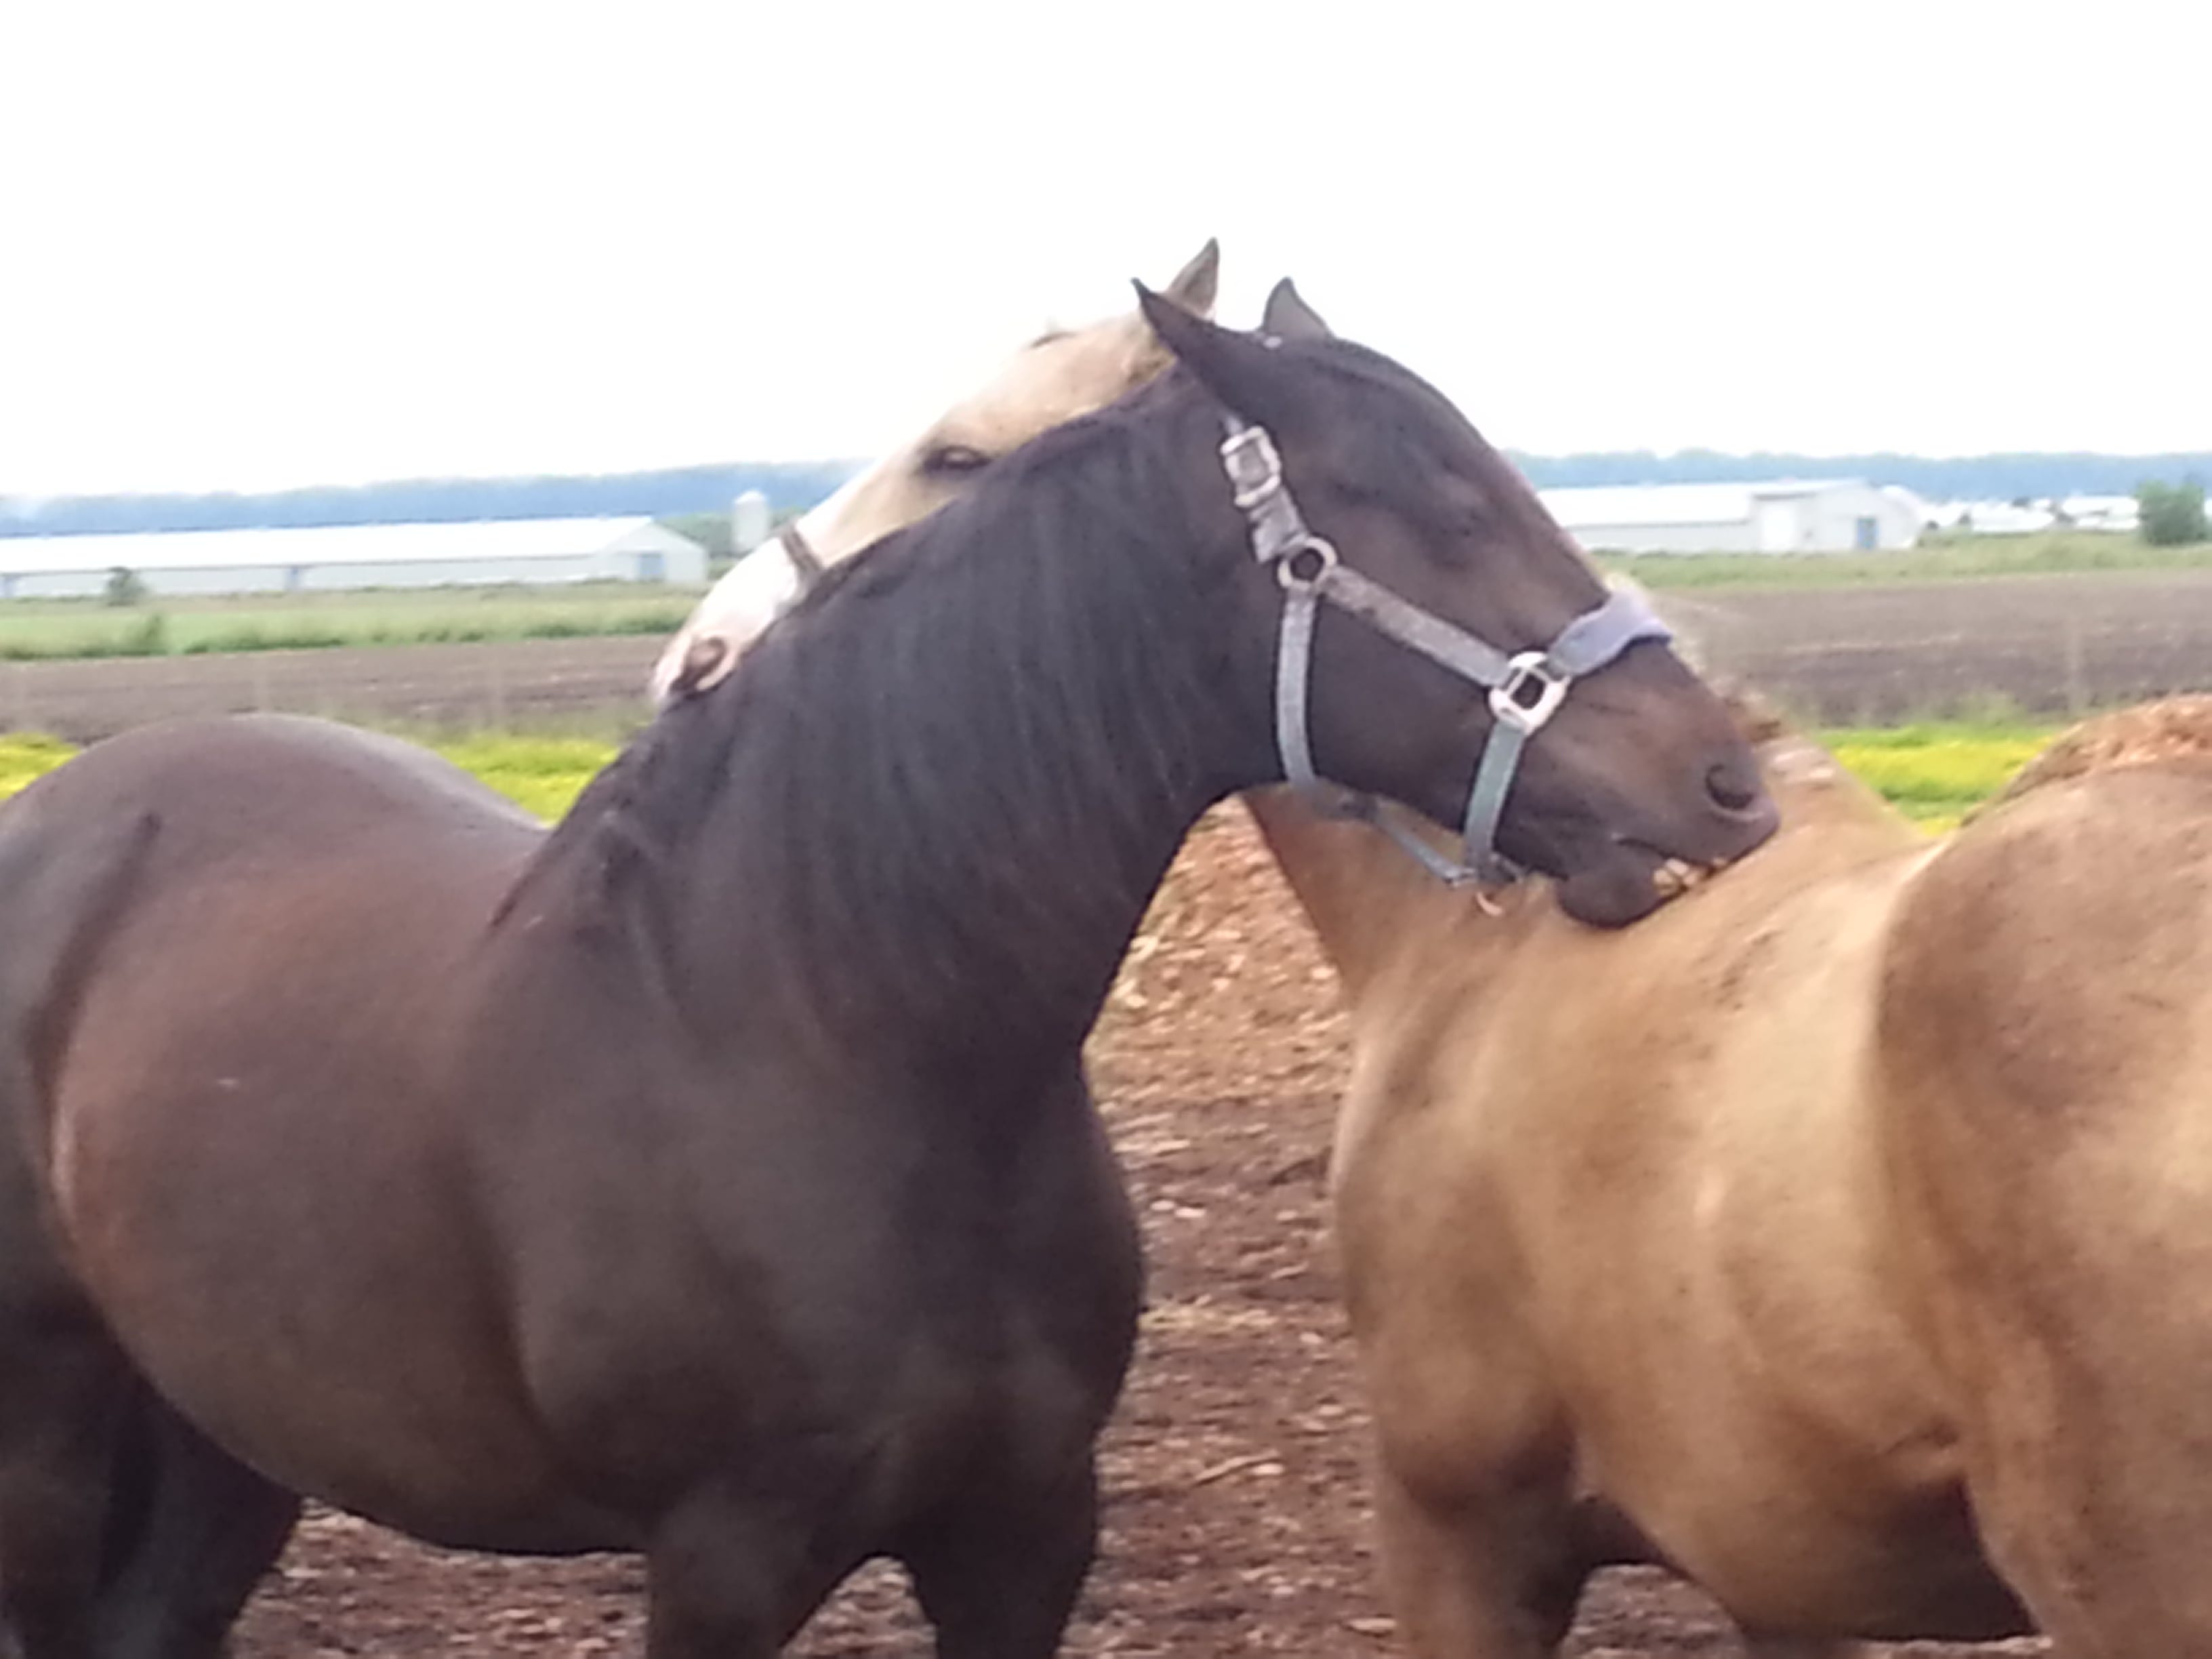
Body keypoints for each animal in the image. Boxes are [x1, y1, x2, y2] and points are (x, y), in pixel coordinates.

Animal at [0, 292, 1775, 1659]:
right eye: (1450, 512)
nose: (1724, 782)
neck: (820, 1027)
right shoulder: (721, 1558)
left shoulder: (1023, 1527)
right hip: (59, 1413)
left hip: (228, 1427)